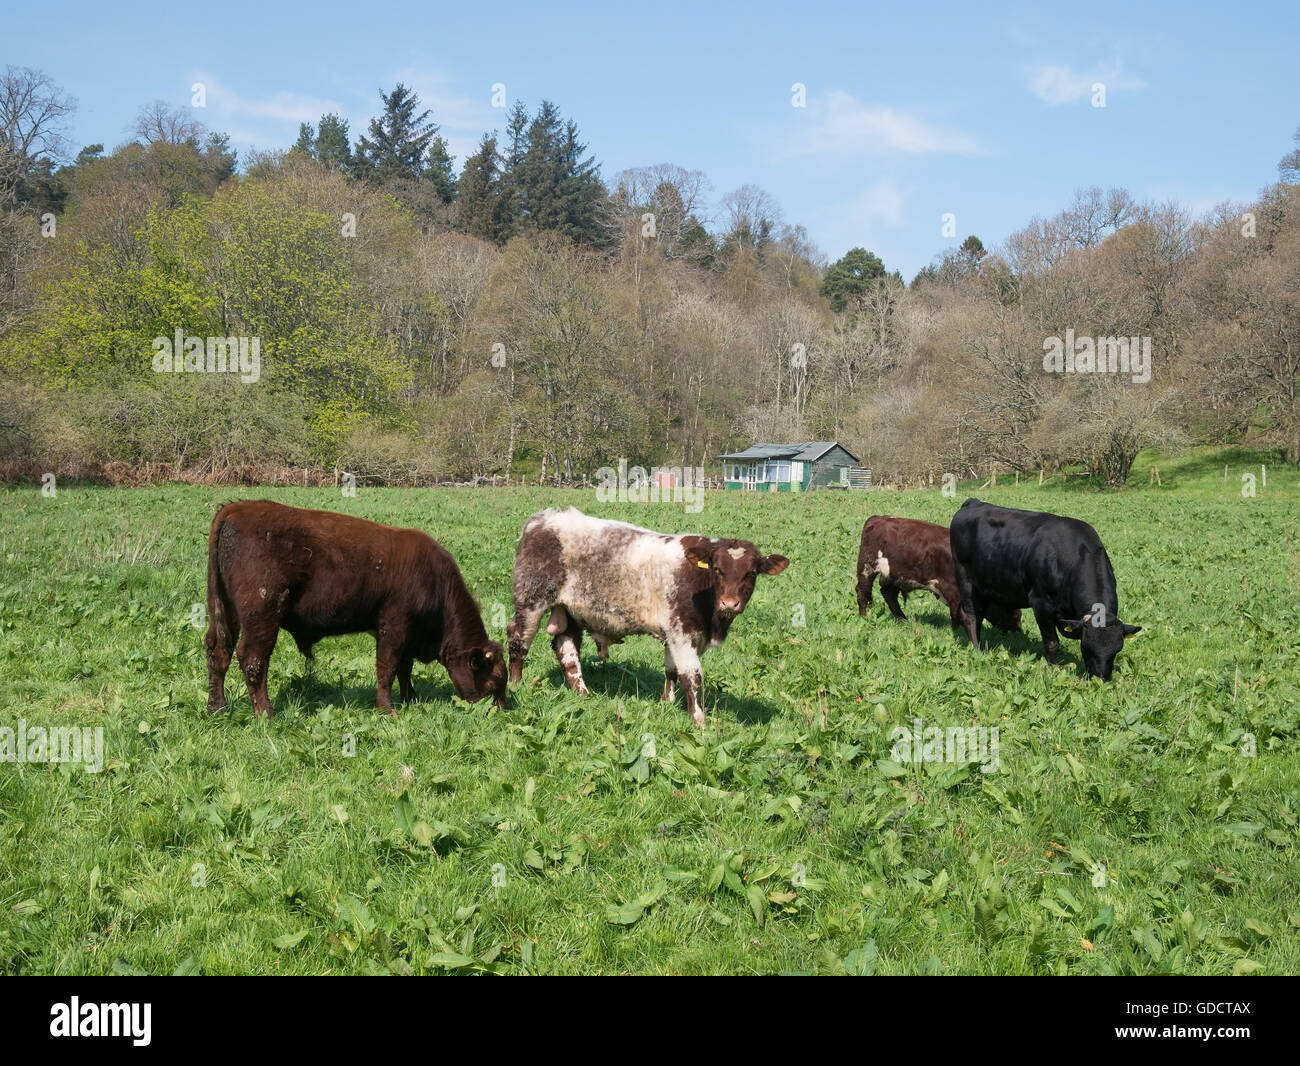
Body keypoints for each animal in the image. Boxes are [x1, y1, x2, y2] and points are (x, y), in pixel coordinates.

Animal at [205, 501, 507, 716]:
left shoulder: (404, 634)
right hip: (262, 616)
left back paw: (217, 707)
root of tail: (237, 508)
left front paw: (411, 698)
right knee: (253, 658)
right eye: (493, 682)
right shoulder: (393, 627)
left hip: (226, 612)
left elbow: (404, 667)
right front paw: (387, 708)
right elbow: (387, 666)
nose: (502, 711)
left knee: (218, 652)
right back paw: (266, 713)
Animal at [506, 507, 789, 728]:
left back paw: (582, 693)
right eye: (717, 569)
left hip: (569, 610)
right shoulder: (682, 633)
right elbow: (692, 676)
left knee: (567, 650)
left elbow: (671, 670)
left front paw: (668, 701)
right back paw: (516, 684)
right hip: (531, 600)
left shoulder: (675, 635)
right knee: (518, 638)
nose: (730, 603)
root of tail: (543, 517)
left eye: (751, 573)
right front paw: (698, 719)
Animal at [856, 515, 1022, 633]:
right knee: (863, 591)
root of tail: (877, 518)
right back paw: (864, 618)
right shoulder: (952, 590)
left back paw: (902, 620)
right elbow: (956, 614)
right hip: (867, 567)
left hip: (894, 575)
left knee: (888, 594)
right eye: (1014, 614)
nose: (1018, 631)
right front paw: (958, 633)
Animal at [949, 499, 1140, 680]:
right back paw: (977, 649)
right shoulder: (1041, 604)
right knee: (970, 616)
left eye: (1117, 650)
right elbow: (1052, 643)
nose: (1101, 679)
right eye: (1086, 647)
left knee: (979, 614)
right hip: (965, 578)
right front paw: (1051, 669)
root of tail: (973, 502)